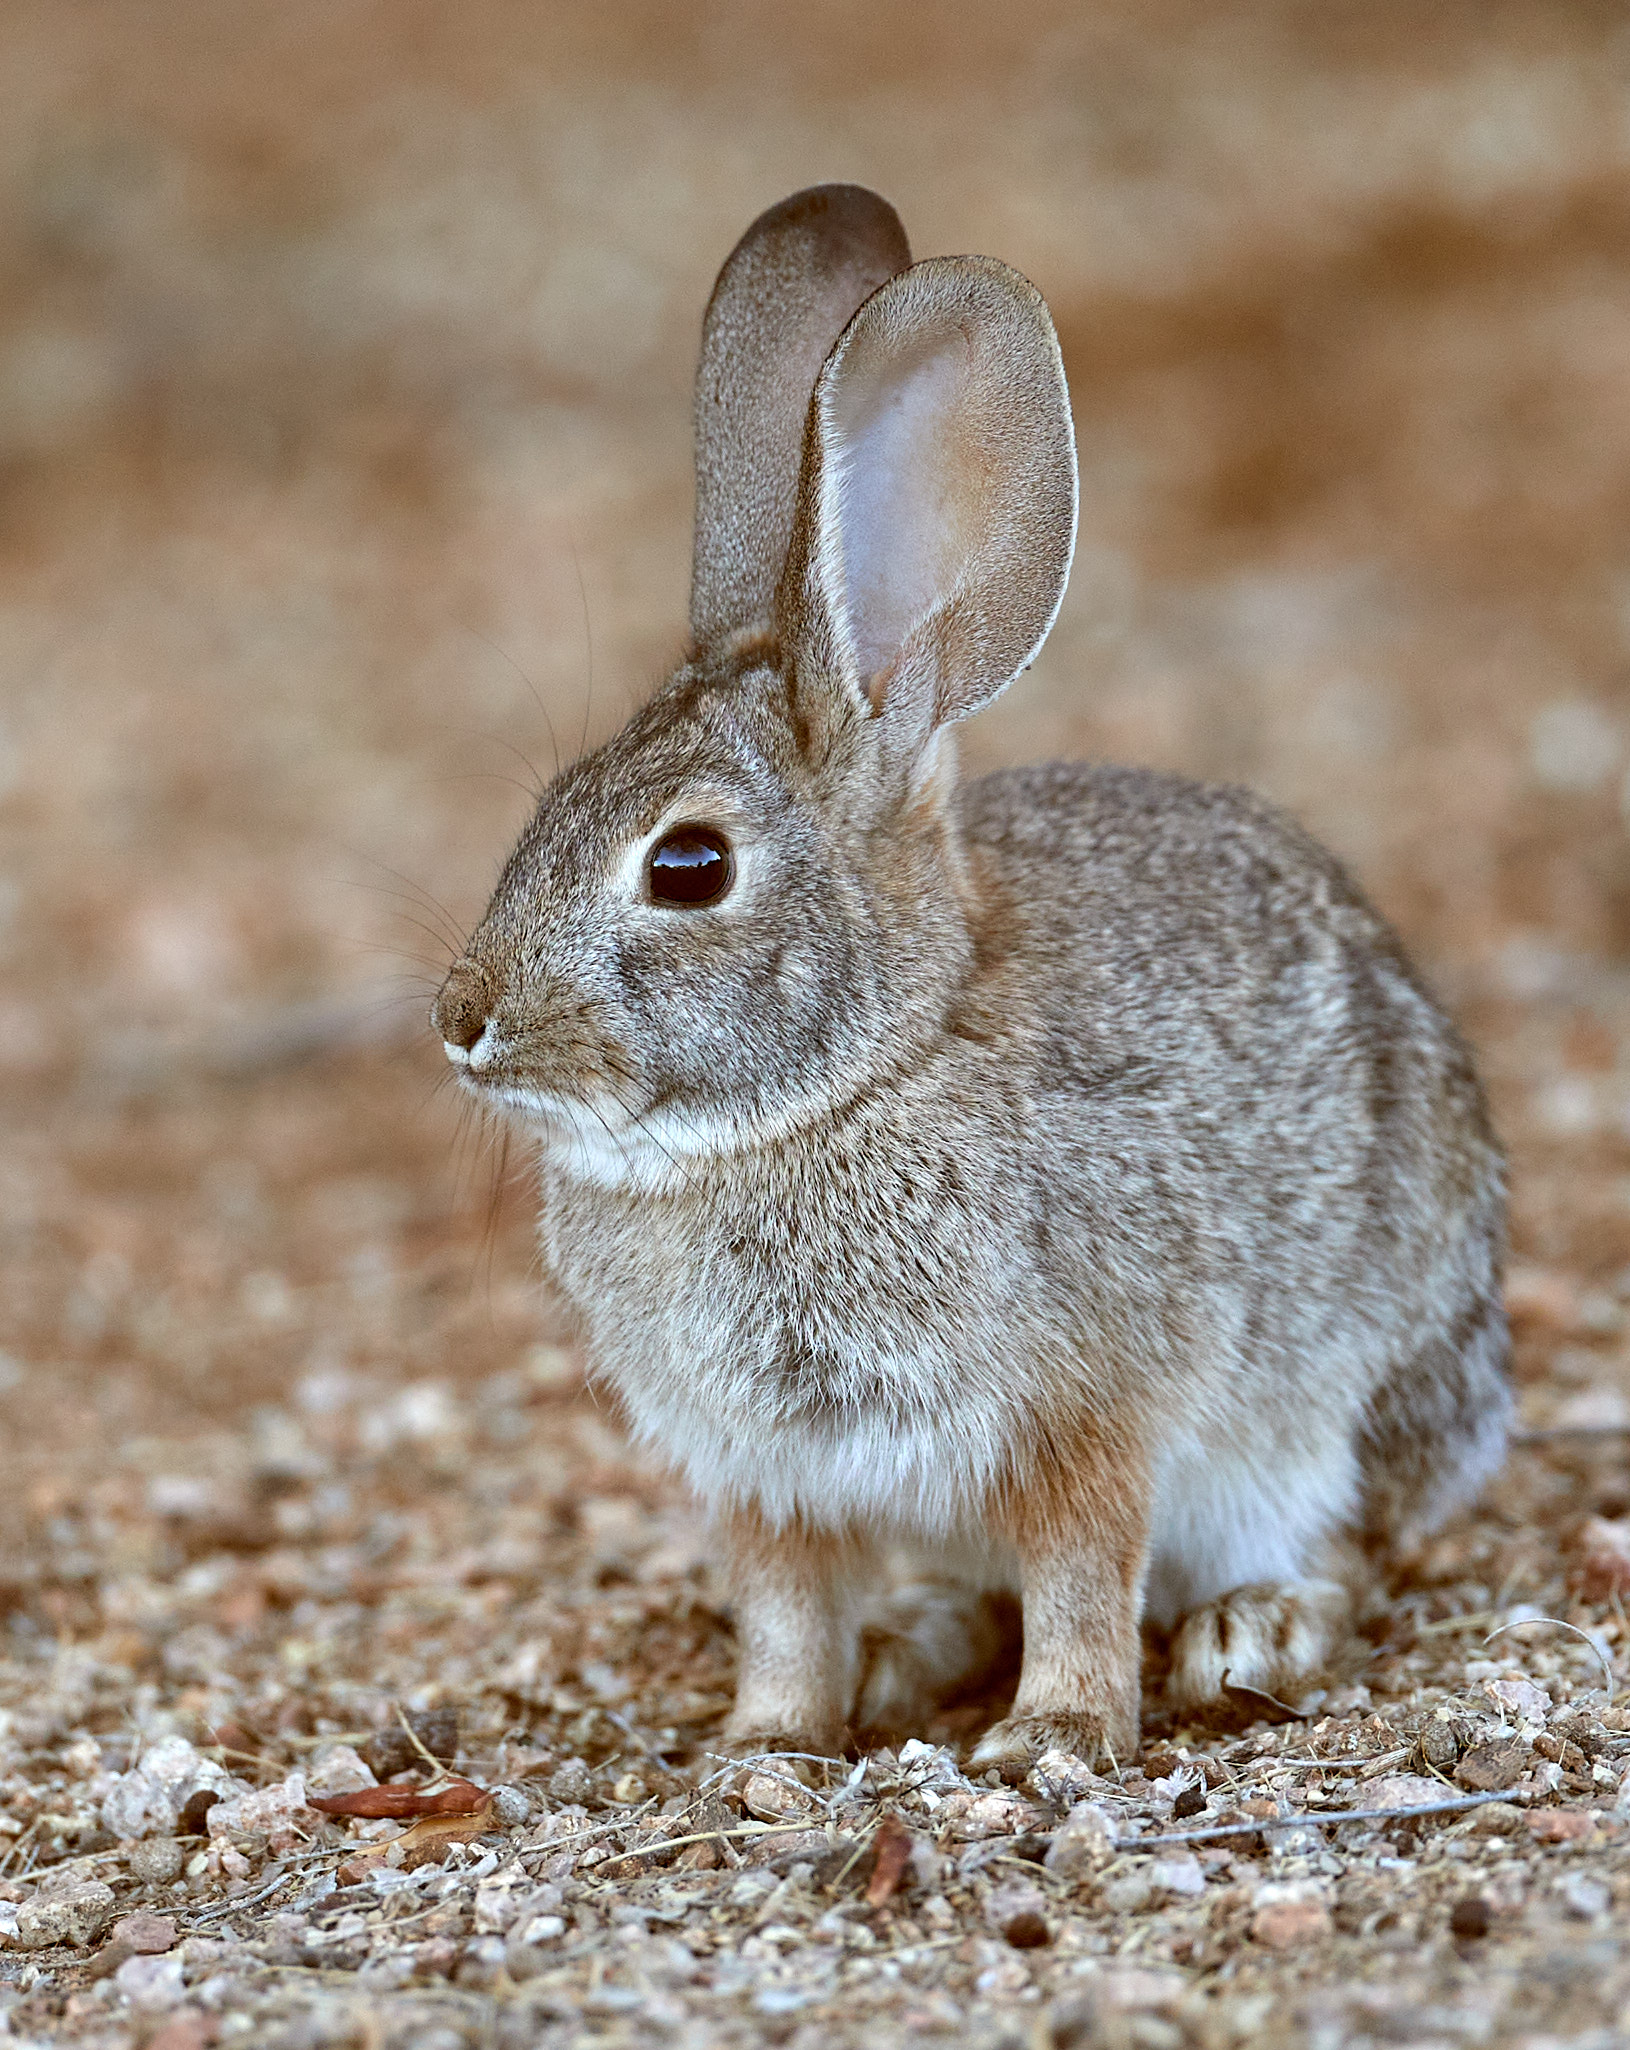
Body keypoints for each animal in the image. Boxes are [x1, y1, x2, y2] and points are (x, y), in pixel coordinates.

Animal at [431, 185, 1510, 1775]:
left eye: (687, 865)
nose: (465, 1020)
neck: (855, 1078)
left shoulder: (1084, 1412)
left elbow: (1078, 1569)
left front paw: (1055, 1730)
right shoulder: (761, 1474)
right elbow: (782, 1605)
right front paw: (764, 1740)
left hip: (1331, 1407)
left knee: (1343, 1548)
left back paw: (1247, 1633)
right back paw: (907, 1653)